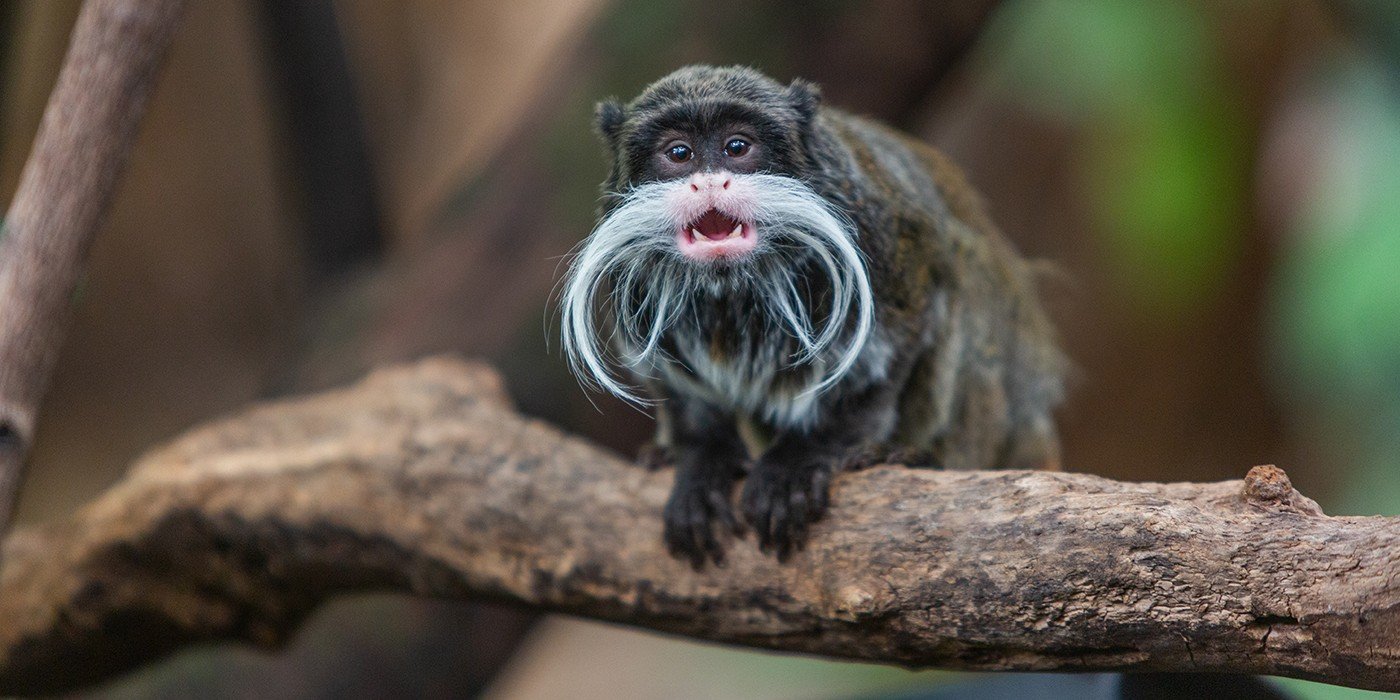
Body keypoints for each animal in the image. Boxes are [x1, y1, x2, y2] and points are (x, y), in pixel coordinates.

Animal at [560, 65, 1065, 568]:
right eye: (679, 153)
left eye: (737, 147)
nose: (708, 182)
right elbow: (679, 388)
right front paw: (700, 465)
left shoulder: (877, 228)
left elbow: (894, 348)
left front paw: (801, 460)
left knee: (960, 263)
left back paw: (912, 455)